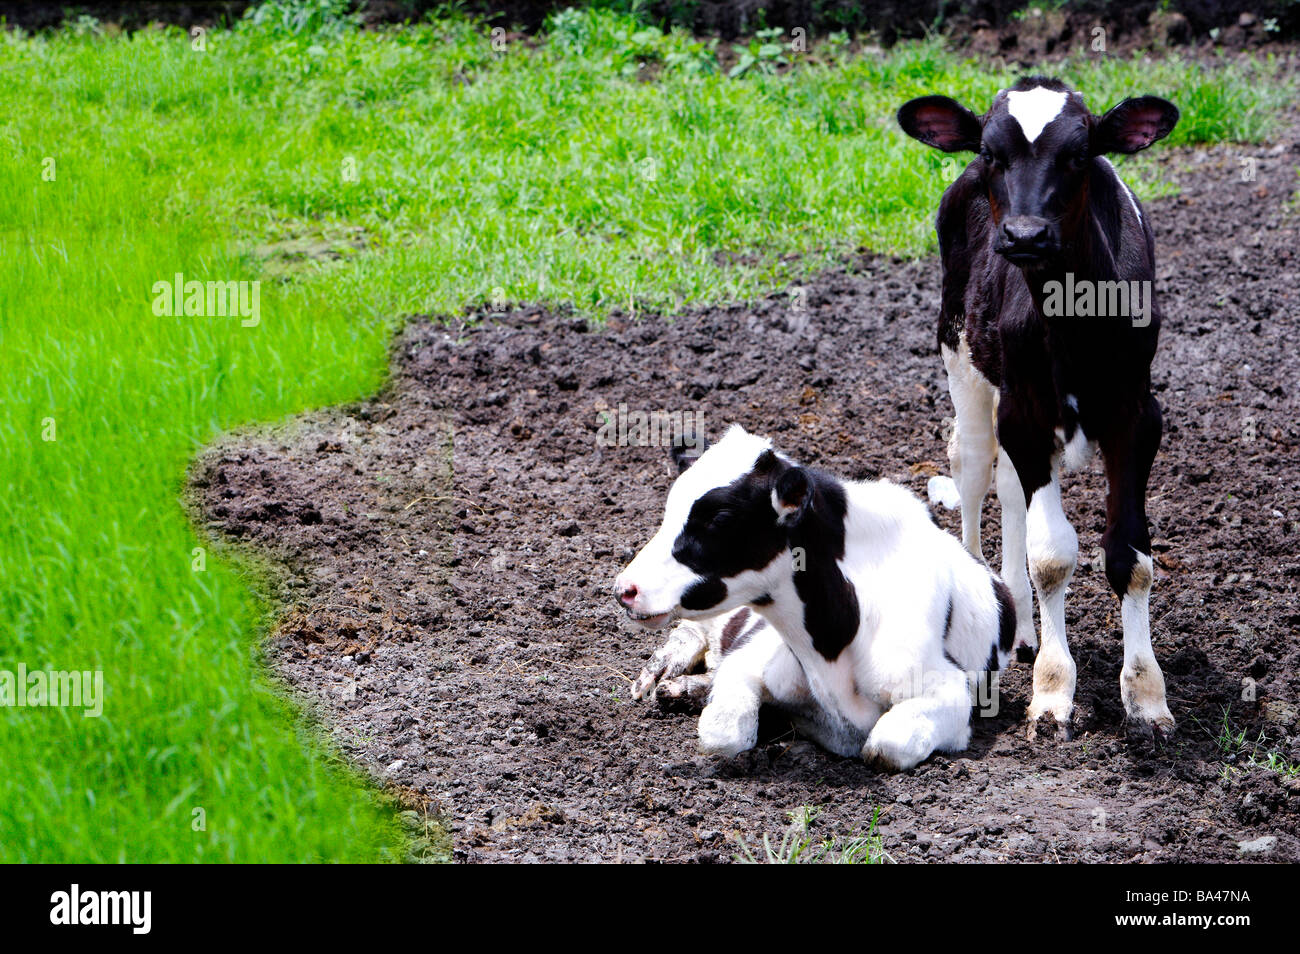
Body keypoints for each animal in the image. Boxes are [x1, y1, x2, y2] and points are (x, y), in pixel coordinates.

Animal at [614, 424, 1014, 771]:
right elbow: (722, 733)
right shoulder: (753, 656)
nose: (624, 589)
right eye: (669, 510)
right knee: (690, 632)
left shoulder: (949, 692)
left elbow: (884, 747)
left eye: (720, 519)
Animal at [897, 77, 1180, 741]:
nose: (1024, 236)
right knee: (975, 467)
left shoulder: (1136, 413)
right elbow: (1051, 558)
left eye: (1078, 154)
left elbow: (1130, 554)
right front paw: (1053, 692)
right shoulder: (1026, 414)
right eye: (992, 152)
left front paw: (1147, 696)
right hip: (962, 355)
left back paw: (1025, 629)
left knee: (1008, 487)